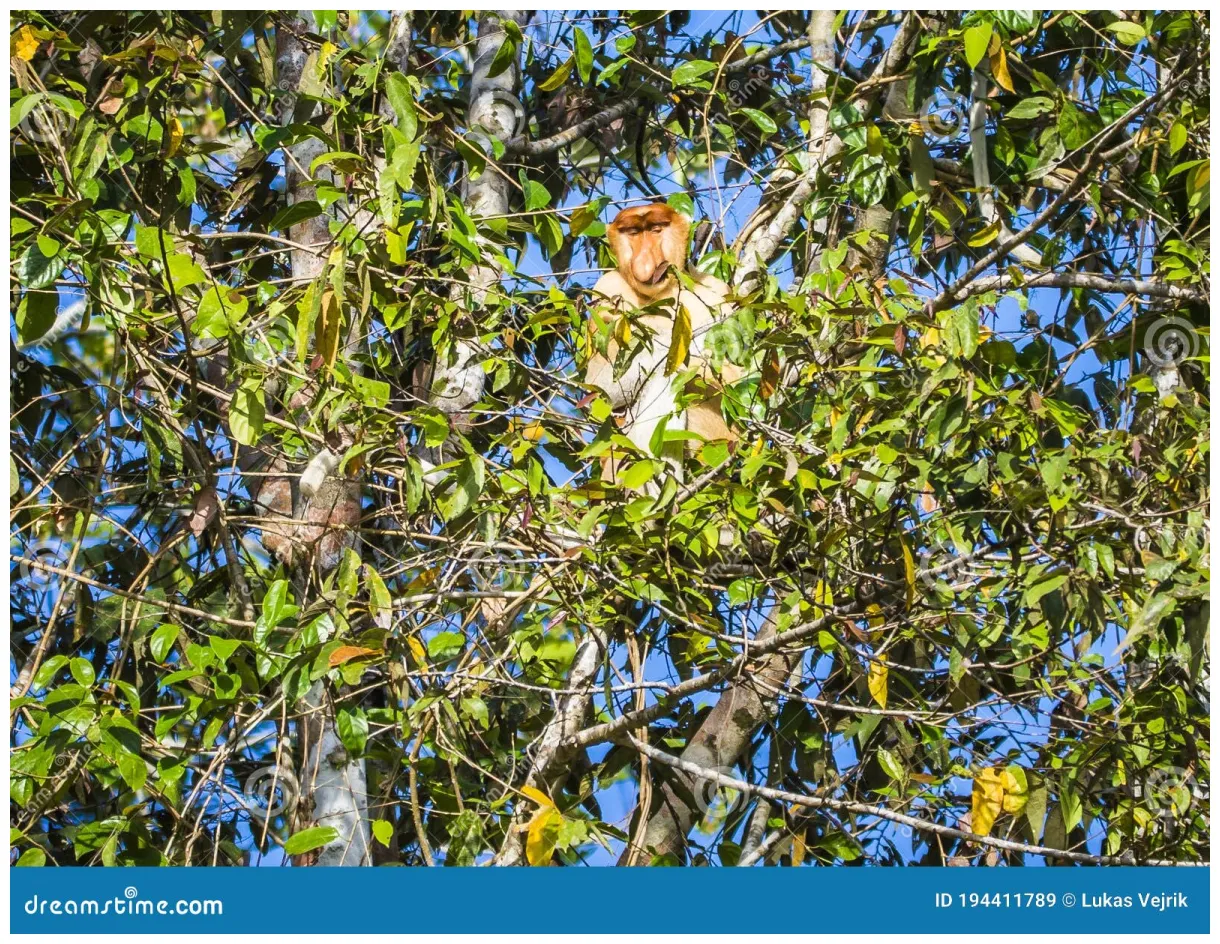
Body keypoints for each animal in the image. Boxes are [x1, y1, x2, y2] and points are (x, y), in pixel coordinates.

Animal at [582, 203, 743, 483]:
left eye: (656, 229)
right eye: (633, 233)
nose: (646, 261)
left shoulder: (718, 289)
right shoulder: (606, 291)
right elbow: (599, 388)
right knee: (662, 377)